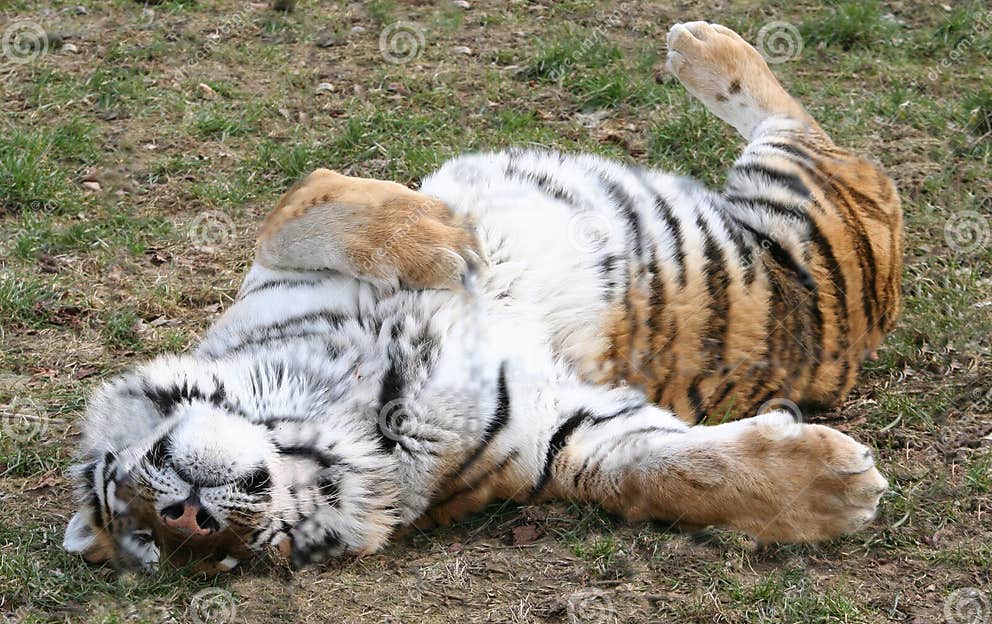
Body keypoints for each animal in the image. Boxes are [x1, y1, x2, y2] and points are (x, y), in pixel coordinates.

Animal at [63, 22, 899, 573]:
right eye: (160, 542)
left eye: (117, 488)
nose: (188, 518)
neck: (333, 415)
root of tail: (867, 329)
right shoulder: (561, 436)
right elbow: (668, 472)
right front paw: (831, 491)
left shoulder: (281, 251)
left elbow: (312, 206)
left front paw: (442, 241)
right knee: (829, 143)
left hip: (801, 189)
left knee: (801, 121)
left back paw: (702, 43)